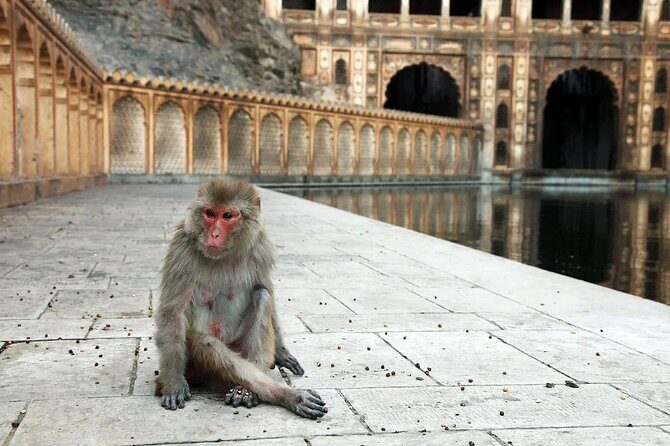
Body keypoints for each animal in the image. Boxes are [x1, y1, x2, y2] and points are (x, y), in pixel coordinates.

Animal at [154, 179, 327, 419]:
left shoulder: (261, 247)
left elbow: (265, 290)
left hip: (240, 345)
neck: (224, 254)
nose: (214, 234)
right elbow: (173, 314)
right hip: (194, 368)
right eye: (210, 213)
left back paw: (247, 391)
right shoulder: (181, 249)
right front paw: (173, 383)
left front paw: (281, 353)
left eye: (227, 216)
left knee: (262, 297)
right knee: (204, 342)